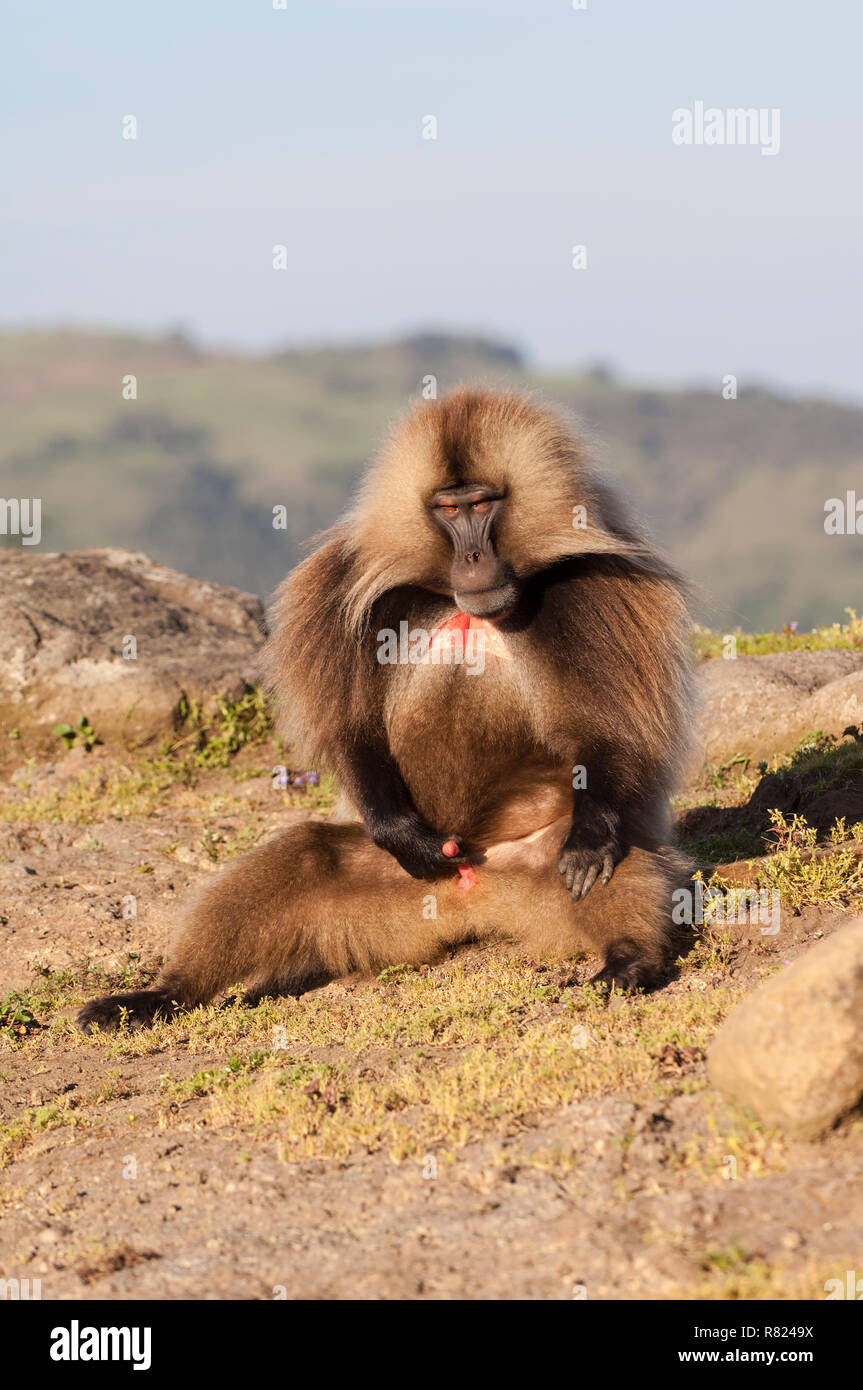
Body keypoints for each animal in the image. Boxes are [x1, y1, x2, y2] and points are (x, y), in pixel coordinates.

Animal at [78, 389, 694, 1032]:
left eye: (483, 504)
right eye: (448, 509)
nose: (474, 557)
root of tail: (477, 893)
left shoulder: (604, 590)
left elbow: (610, 733)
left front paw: (595, 836)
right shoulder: (337, 588)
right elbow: (353, 730)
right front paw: (396, 823)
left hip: (540, 861)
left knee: (611, 862)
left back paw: (627, 957)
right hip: (395, 882)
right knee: (304, 856)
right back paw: (160, 996)